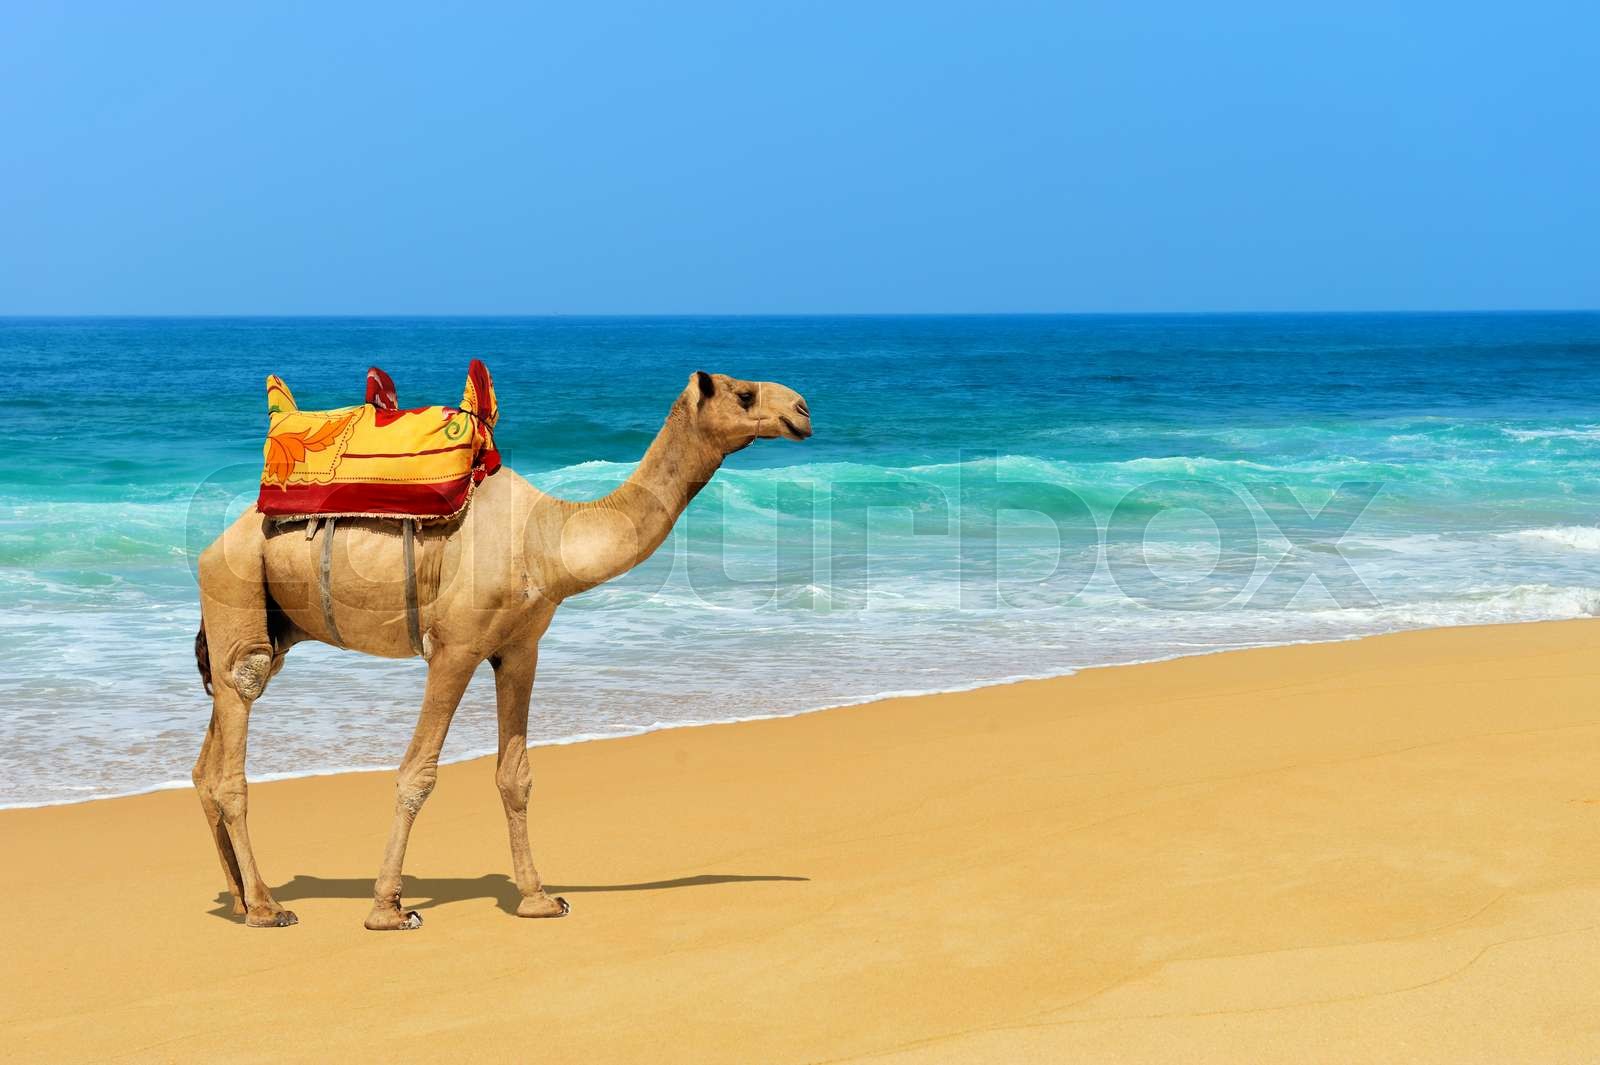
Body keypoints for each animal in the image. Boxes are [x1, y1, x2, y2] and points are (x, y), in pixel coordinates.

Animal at [192, 371, 812, 929]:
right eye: (744, 394)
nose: (802, 410)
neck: (547, 542)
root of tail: (213, 544)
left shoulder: (519, 649)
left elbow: (516, 776)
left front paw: (539, 899)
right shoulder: (455, 646)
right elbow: (418, 773)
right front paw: (388, 909)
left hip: (270, 625)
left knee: (210, 755)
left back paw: (242, 899)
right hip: (237, 586)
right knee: (238, 717)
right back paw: (268, 907)